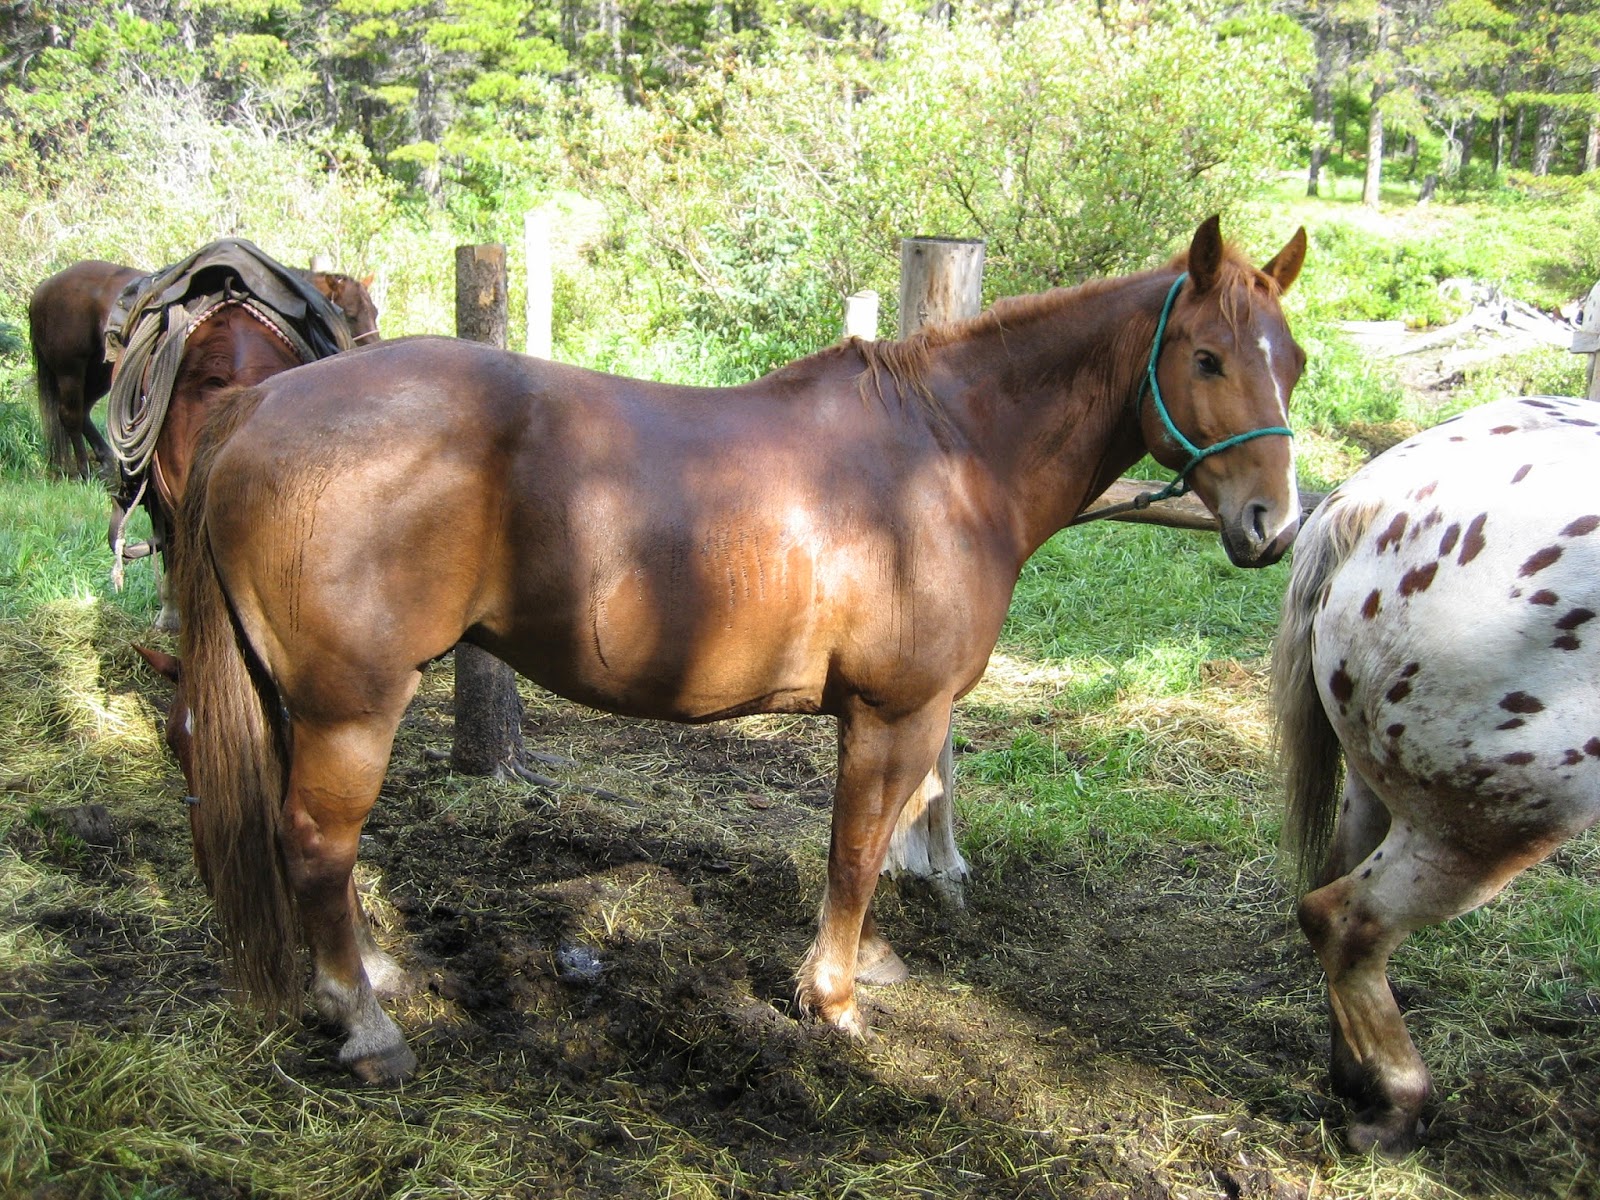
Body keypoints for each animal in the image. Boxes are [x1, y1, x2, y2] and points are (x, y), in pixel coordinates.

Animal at [28, 259, 149, 480]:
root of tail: (40, 291)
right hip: (70, 370)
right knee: (70, 415)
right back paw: (85, 471)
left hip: (100, 373)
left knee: (83, 410)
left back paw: (106, 461)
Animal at [171, 216, 1306, 1084]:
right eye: (1207, 356)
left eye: (1291, 362)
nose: (1273, 526)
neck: (945, 457)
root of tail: (260, 402)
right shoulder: (899, 711)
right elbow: (857, 848)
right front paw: (835, 999)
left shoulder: (884, 717)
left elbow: (876, 837)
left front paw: (864, 964)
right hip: (353, 703)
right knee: (318, 842)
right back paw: (366, 1026)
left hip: (301, 700)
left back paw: (368, 979)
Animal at [1272, 394, 1600, 1156]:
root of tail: (1371, 499)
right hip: (1488, 827)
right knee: (1346, 921)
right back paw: (1396, 1106)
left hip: (1383, 792)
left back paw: (1356, 1077)